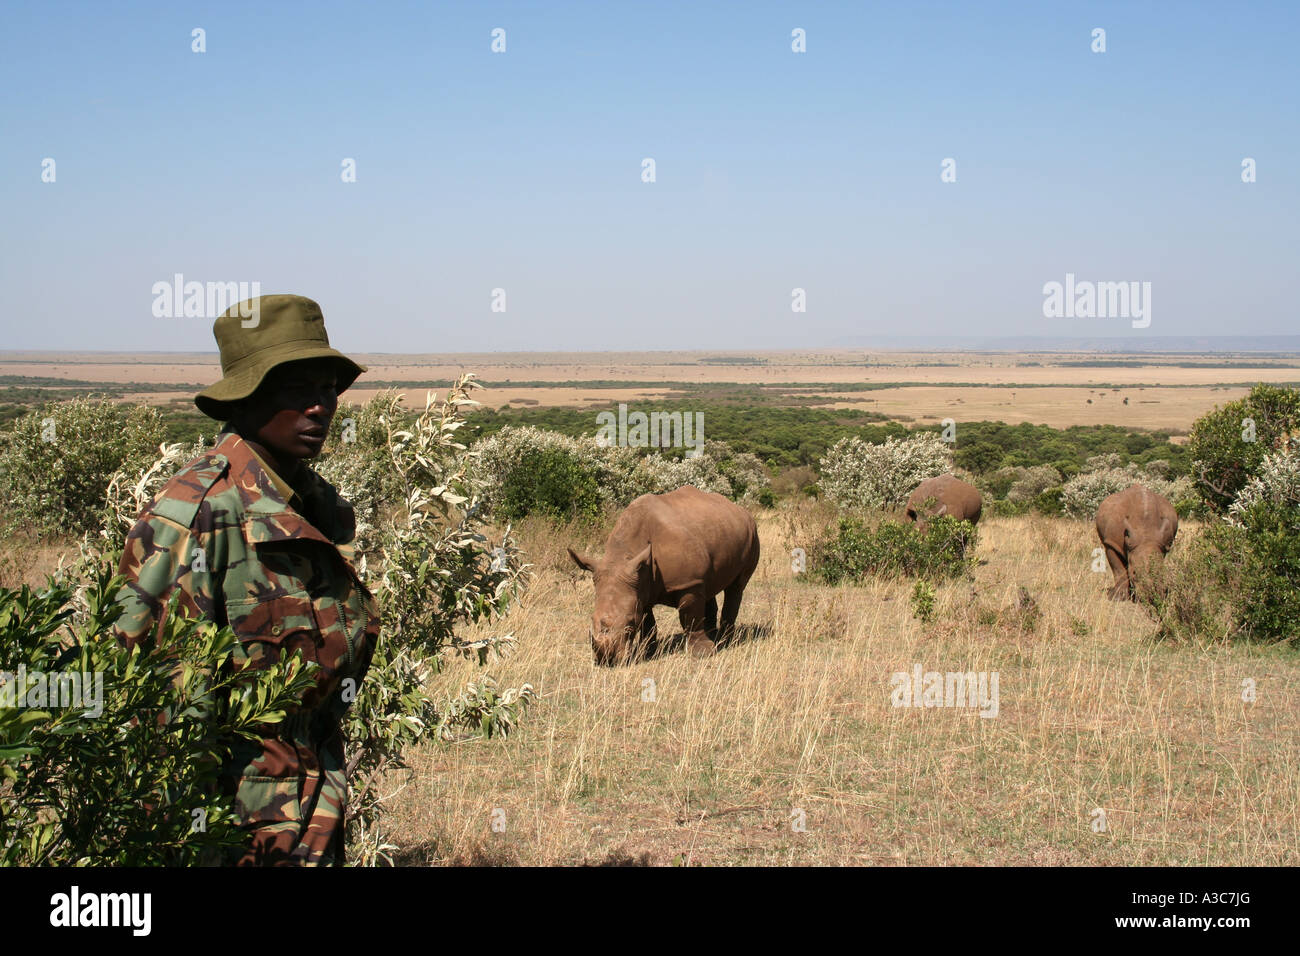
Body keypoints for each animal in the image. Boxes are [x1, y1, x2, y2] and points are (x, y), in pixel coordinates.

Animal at [567, 485, 760, 665]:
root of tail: (740, 509)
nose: (607, 660)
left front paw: (702, 654)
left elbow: (691, 616)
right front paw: (647, 652)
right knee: (709, 585)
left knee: (736, 587)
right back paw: (713, 637)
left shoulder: (687, 582)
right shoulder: (639, 581)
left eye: (630, 624)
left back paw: (725, 640)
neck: (625, 552)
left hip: (752, 533)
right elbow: (647, 620)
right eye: (591, 619)